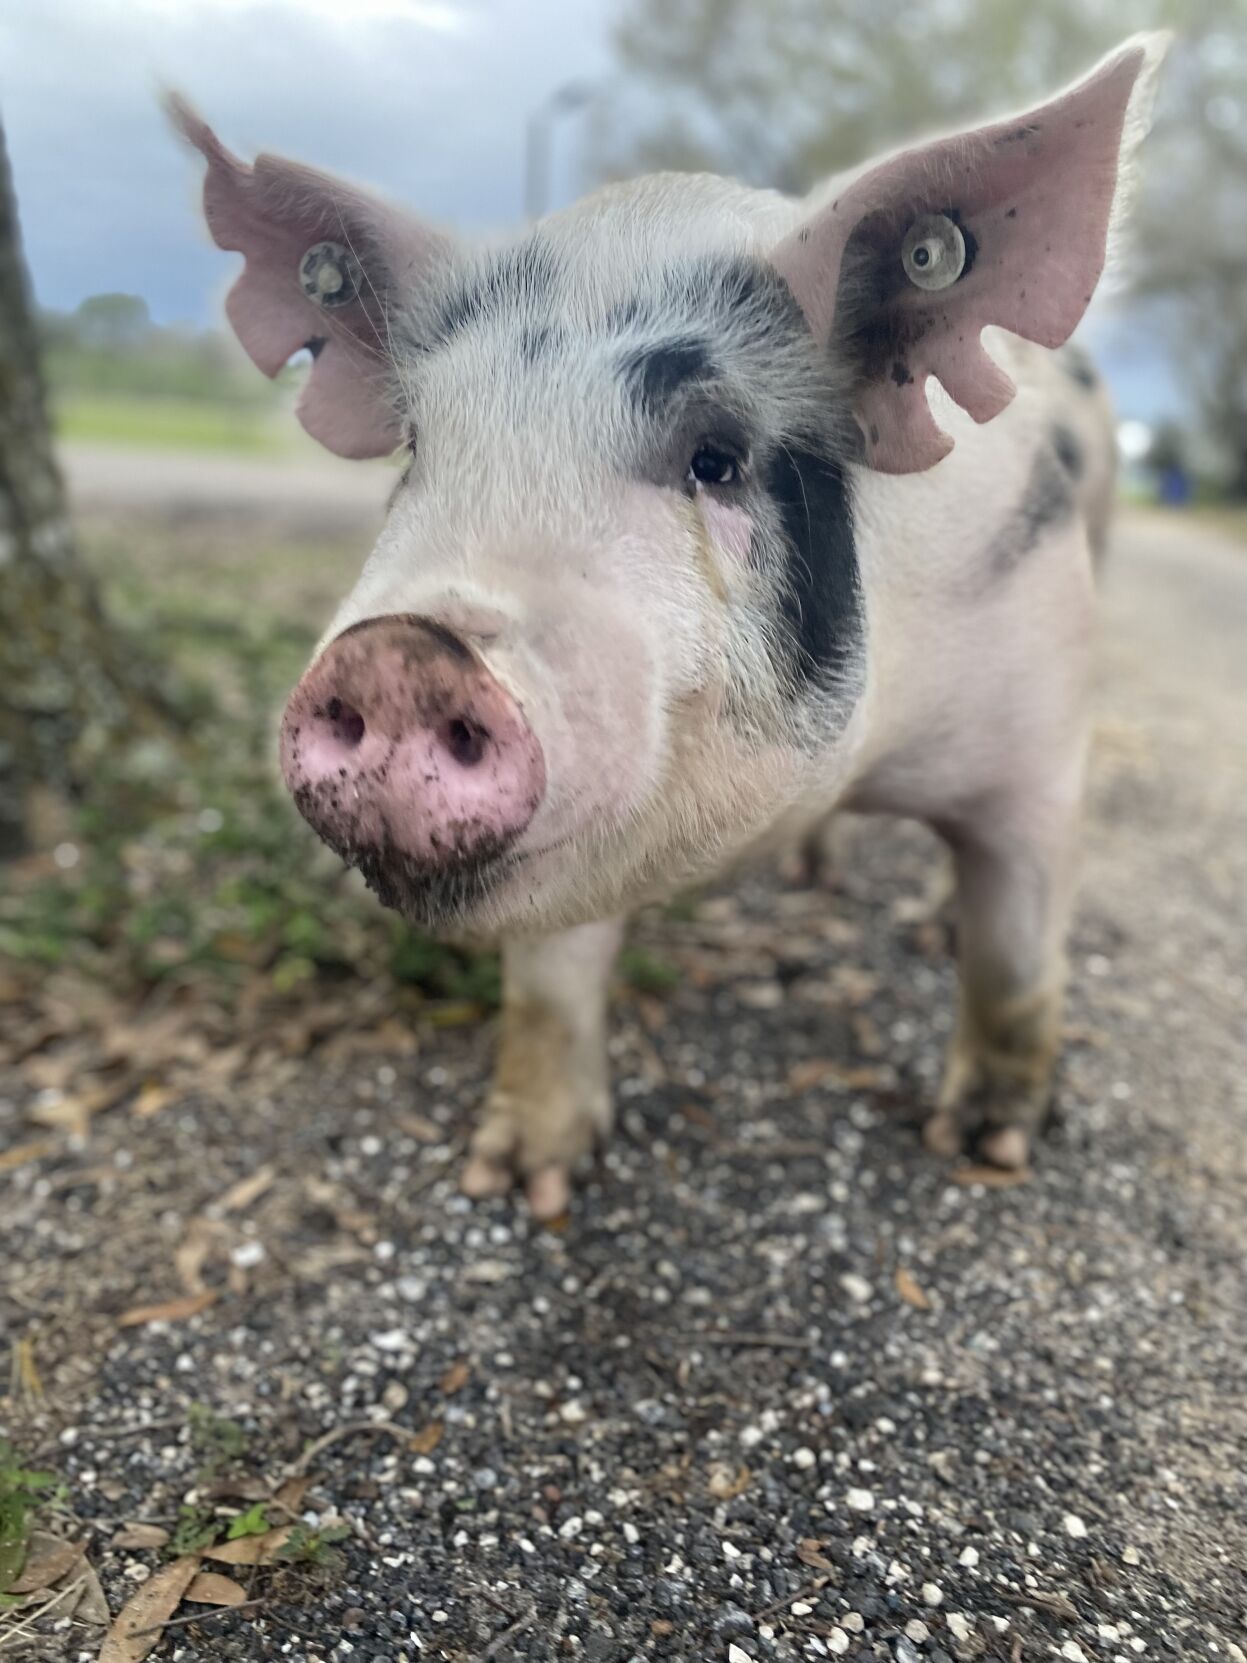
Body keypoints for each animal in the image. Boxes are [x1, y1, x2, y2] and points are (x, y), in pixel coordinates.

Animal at [170, 34, 1167, 1216]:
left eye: (715, 457)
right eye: (418, 448)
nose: (402, 654)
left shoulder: (1042, 728)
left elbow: (1018, 955)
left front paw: (982, 1146)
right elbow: (550, 982)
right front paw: (516, 1179)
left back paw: (928, 930)